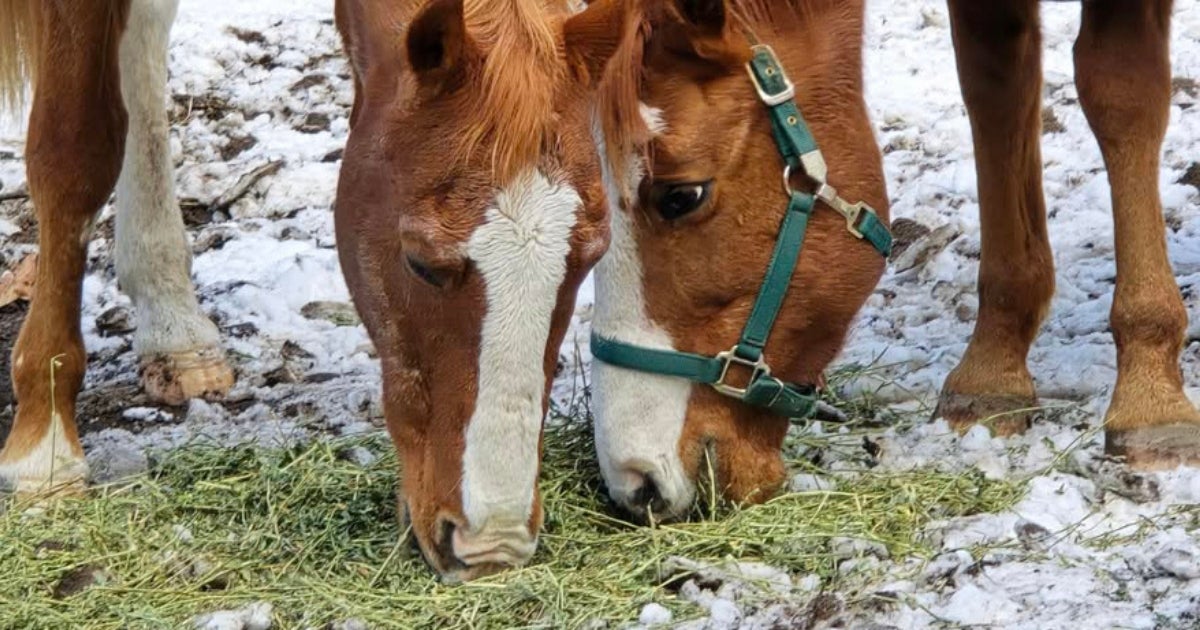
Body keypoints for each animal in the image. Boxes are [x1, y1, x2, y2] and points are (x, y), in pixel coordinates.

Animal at [0, 0, 623, 582]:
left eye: (590, 257)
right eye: (421, 263)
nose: (492, 545)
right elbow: (74, 152)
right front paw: (46, 442)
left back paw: (173, 326)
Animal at [587, 0, 1197, 522]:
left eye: (680, 196)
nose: (636, 479)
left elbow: (1121, 91)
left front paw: (1151, 397)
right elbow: (995, 88)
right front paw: (992, 372)